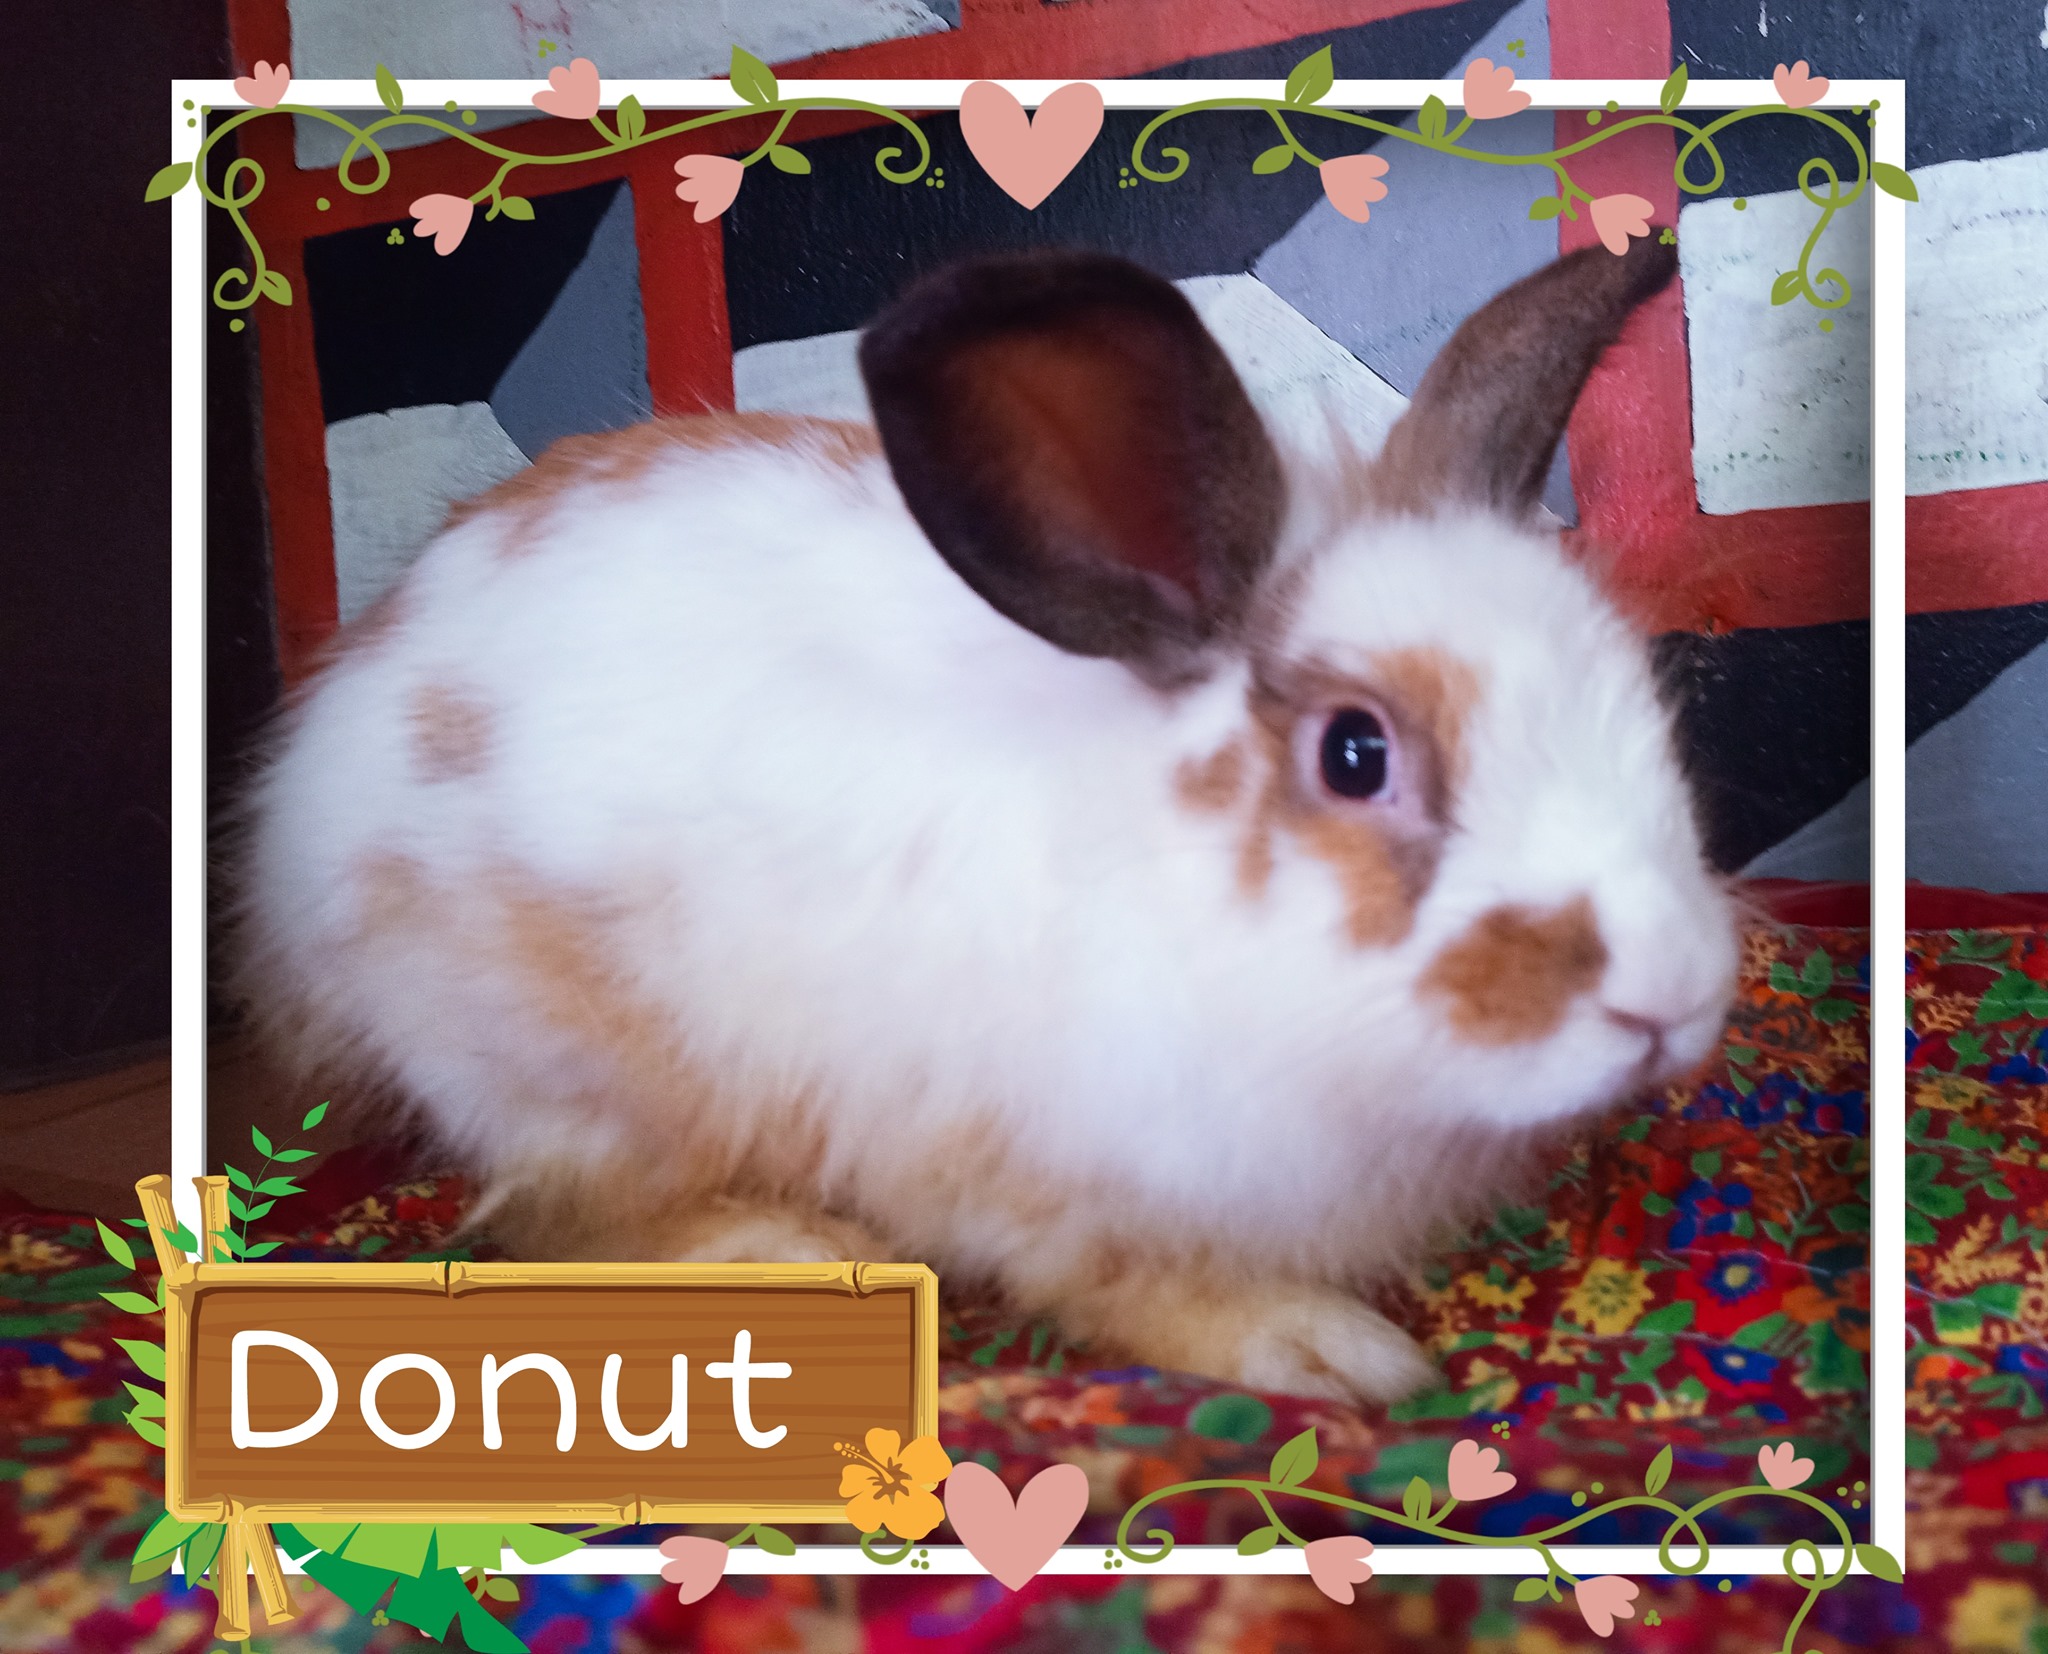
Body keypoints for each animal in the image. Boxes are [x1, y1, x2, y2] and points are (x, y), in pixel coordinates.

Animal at [235, 236, 1739, 1403]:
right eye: (1354, 753)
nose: (1673, 993)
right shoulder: (1018, 1172)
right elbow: (1124, 1280)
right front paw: (1322, 1348)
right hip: (567, 1073)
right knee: (546, 1223)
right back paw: (777, 1247)